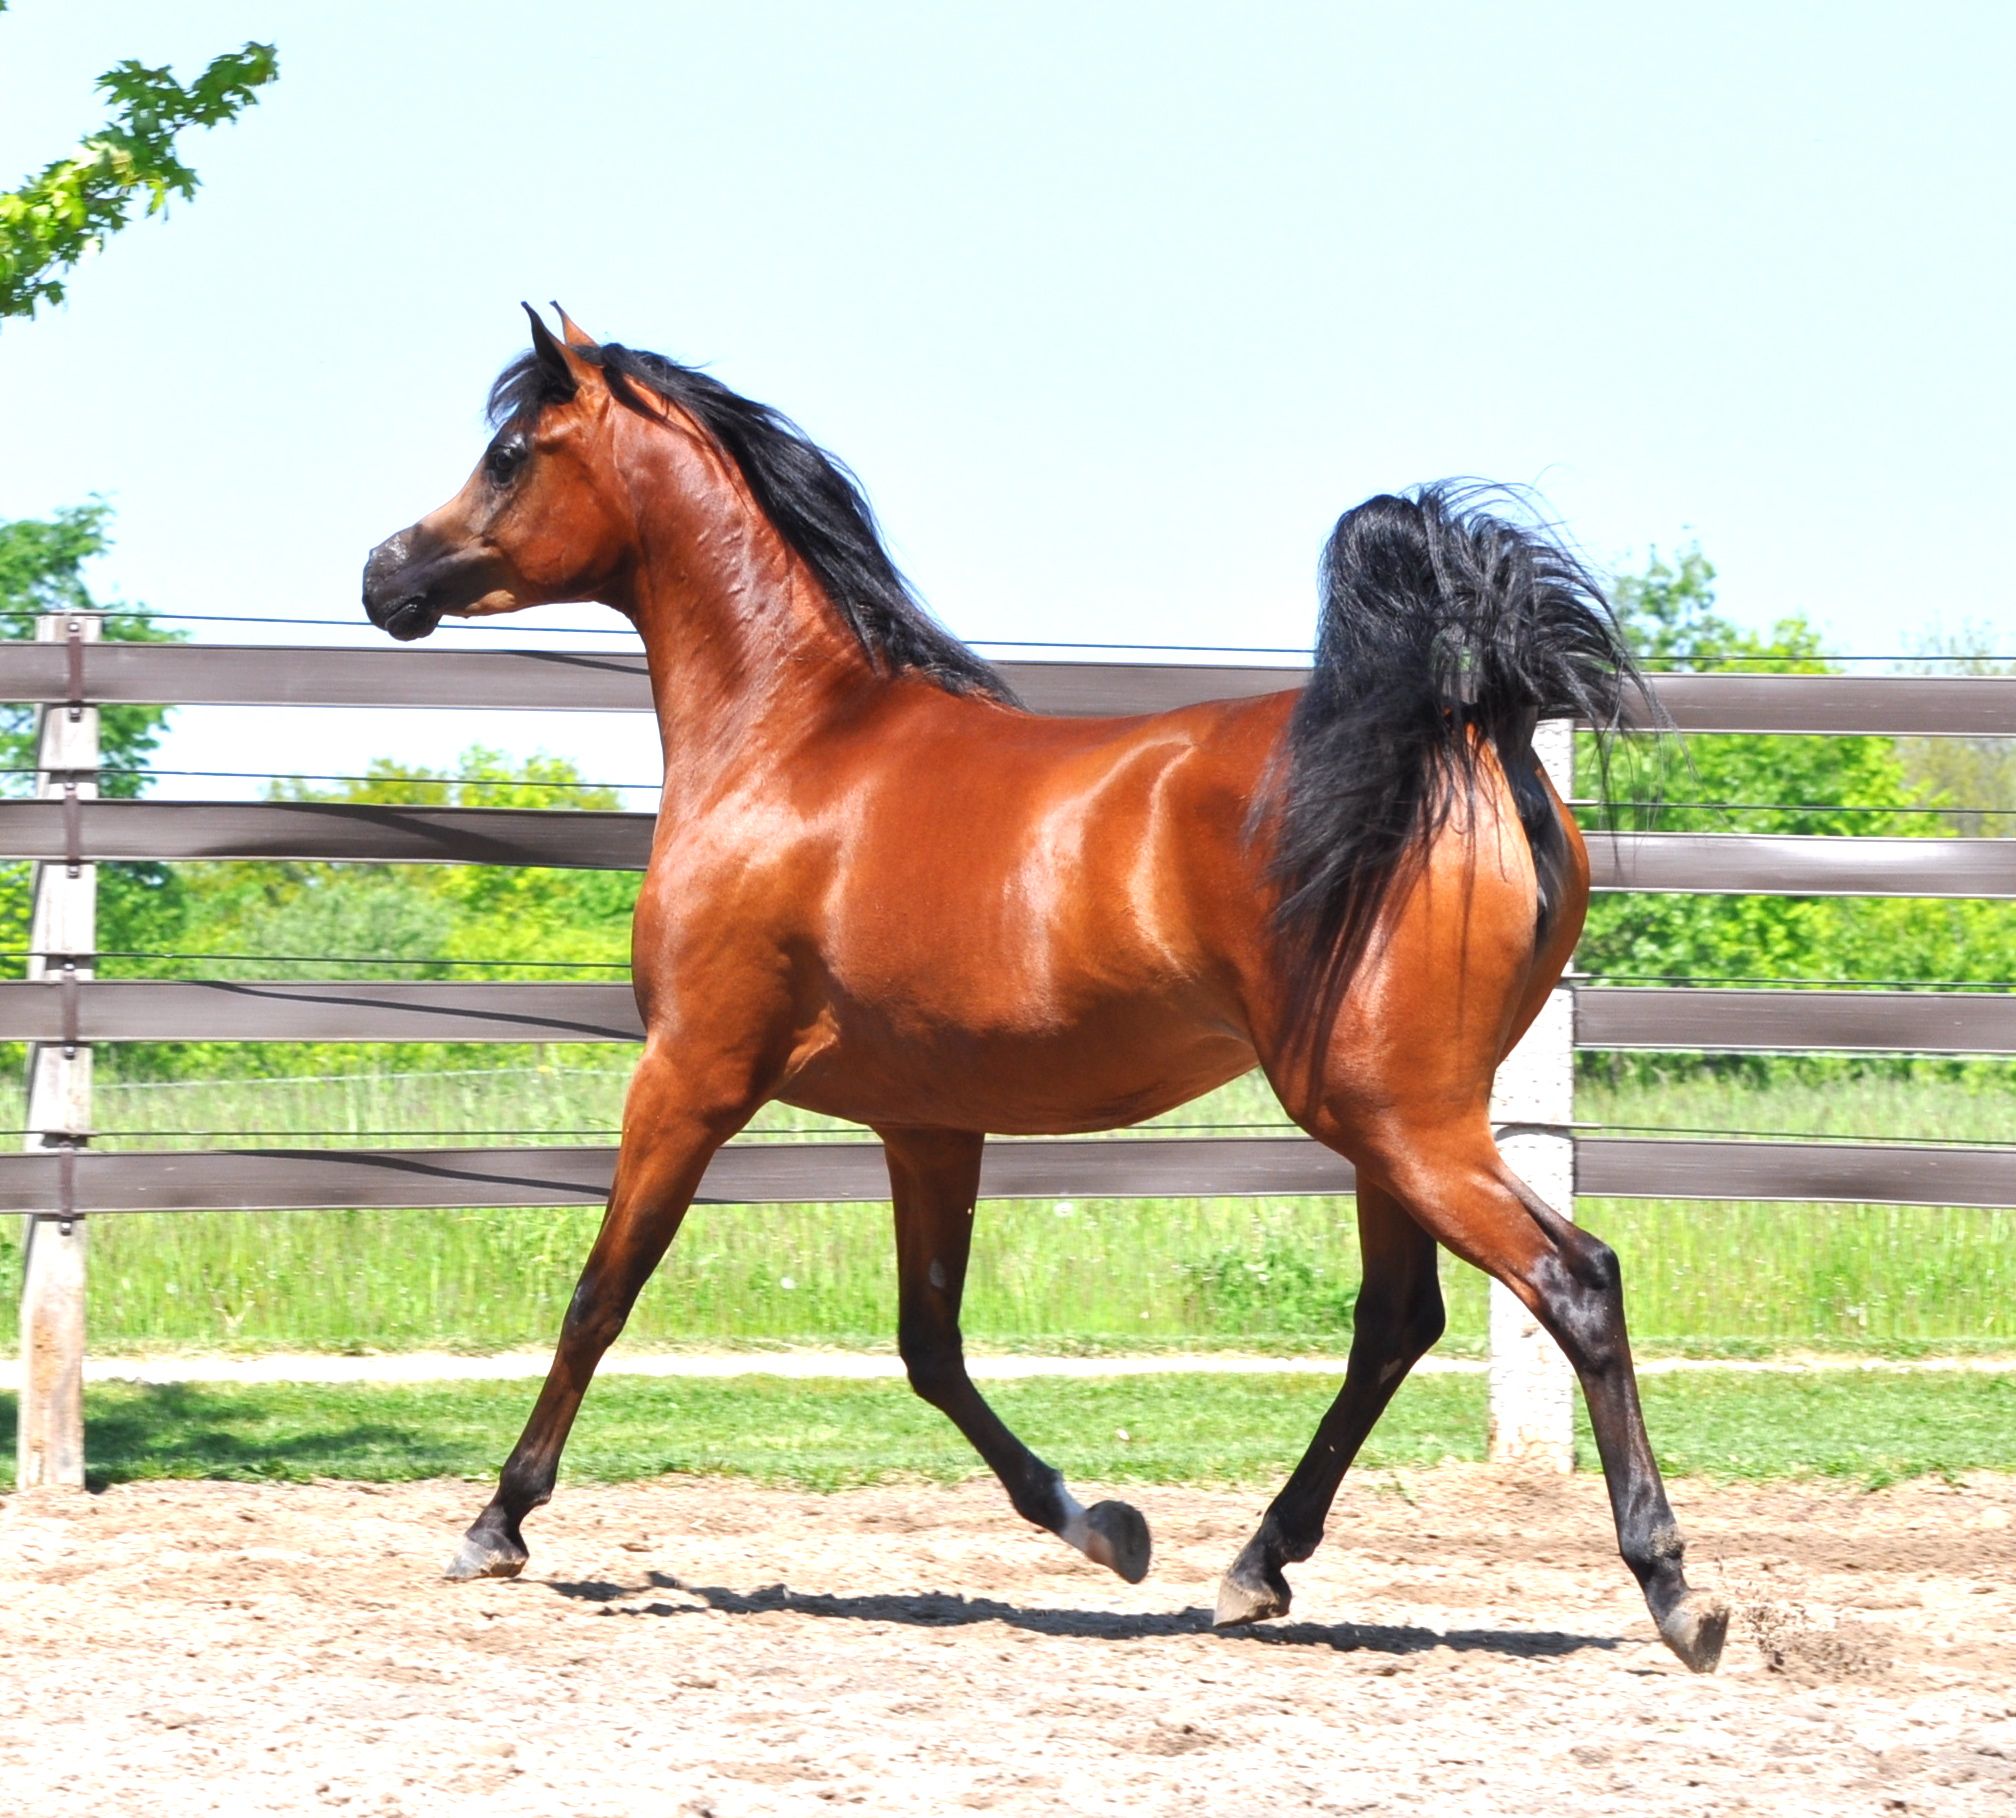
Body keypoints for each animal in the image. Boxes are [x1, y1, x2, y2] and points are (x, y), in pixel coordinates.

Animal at [361, 305, 1728, 1673]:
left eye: (510, 453)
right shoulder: (925, 1122)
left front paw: (494, 1524)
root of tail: (1476, 737)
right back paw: (1255, 1568)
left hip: (1401, 1119)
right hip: (1384, 1125)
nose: (383, 574)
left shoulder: (693, 1073)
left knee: (1573, 1282)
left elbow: (601, 1293)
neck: (790, 746)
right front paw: (1105, 1528)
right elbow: (930, 1348)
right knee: (1397, 1320)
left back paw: (1675, 1591)